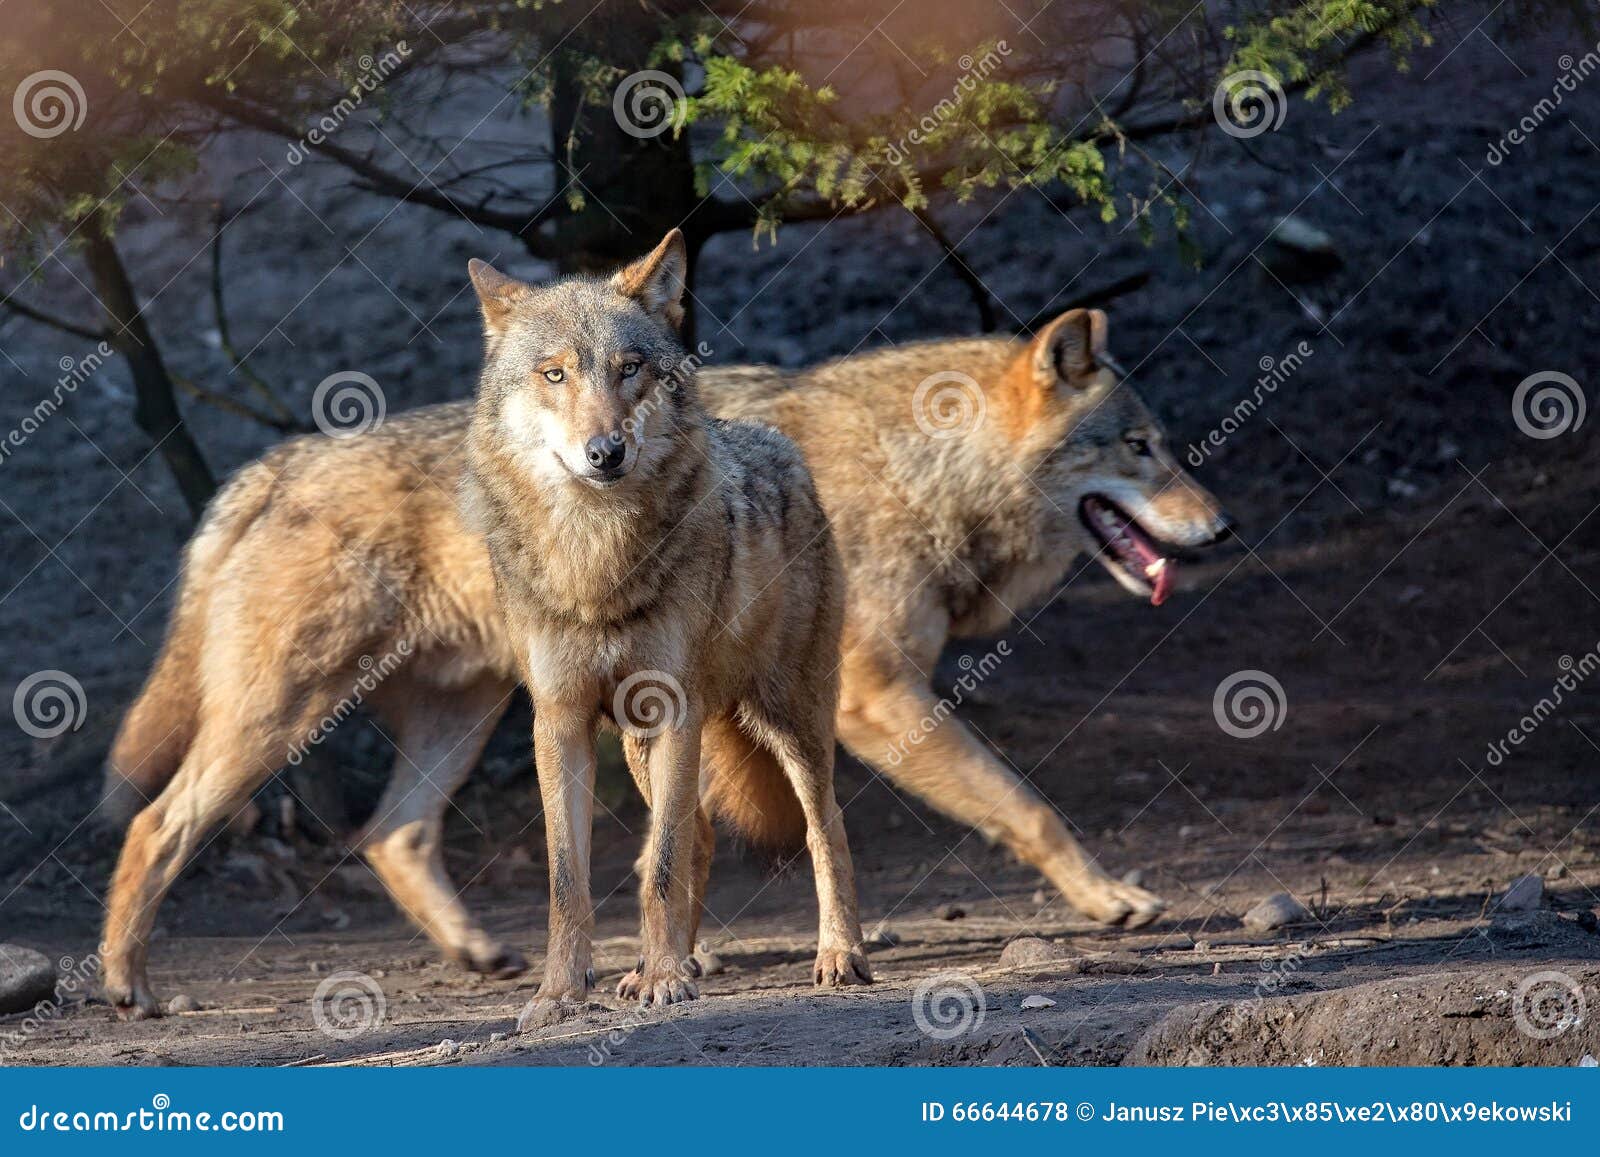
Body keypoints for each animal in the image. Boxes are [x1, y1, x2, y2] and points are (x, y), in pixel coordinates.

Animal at [99, 270, 1230, 1020]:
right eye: (1140, 447)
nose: (1220, 530)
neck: (918, 465)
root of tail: (270, 466)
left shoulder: (697, 708)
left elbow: (682, 845)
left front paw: (664, 966)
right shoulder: (873, 696)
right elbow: (1024, 803)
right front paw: (1114, 896)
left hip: (491, 714)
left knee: (396, 831)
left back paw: (495, 956)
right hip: (283, 719)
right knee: (160, 823)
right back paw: (128, 983)